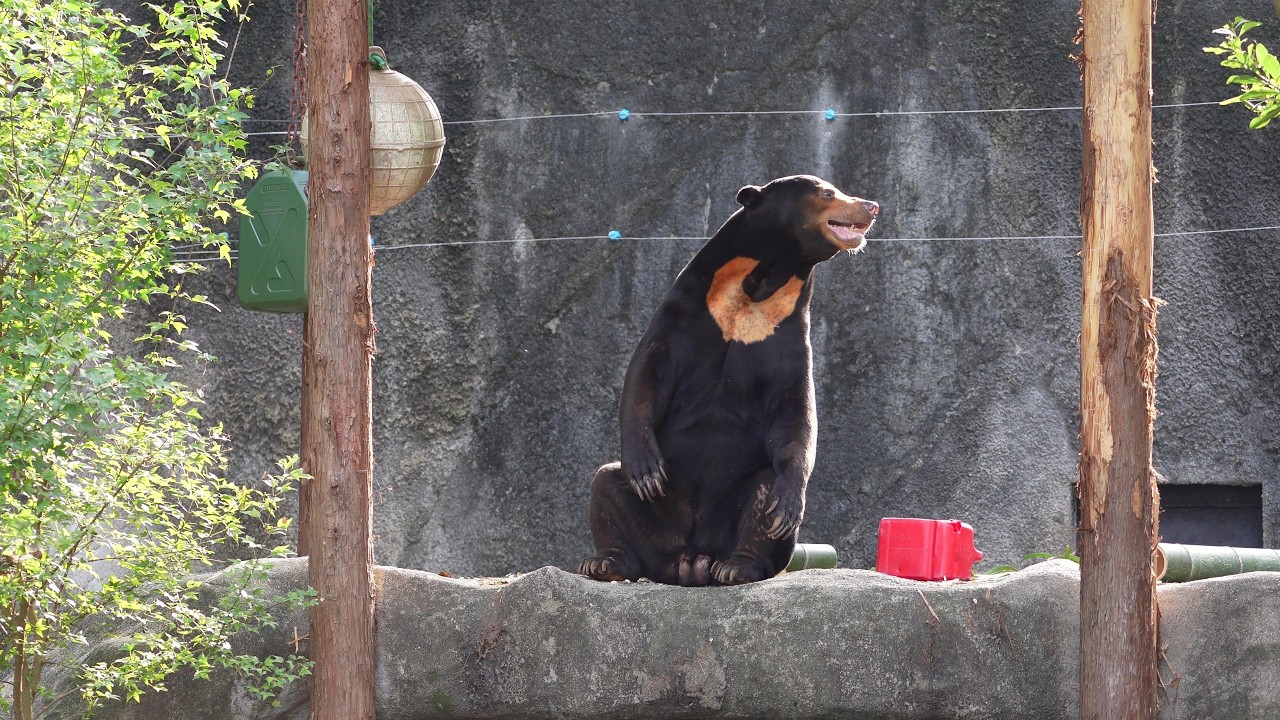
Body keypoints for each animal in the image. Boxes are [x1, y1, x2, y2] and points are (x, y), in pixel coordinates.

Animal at [578, 175, 879, 586]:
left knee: (765, 494)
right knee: (606, 484)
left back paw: (737, 565)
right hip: (654, 522)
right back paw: (604, 564)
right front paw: (646, 470)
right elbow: (647, 373)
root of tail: (689, 560)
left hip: (734, 514)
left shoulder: (785, 333)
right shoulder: (687, 309)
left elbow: (795, 410)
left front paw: (789, 502)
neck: (762, 280)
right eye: (827, 192)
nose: (871, 206)